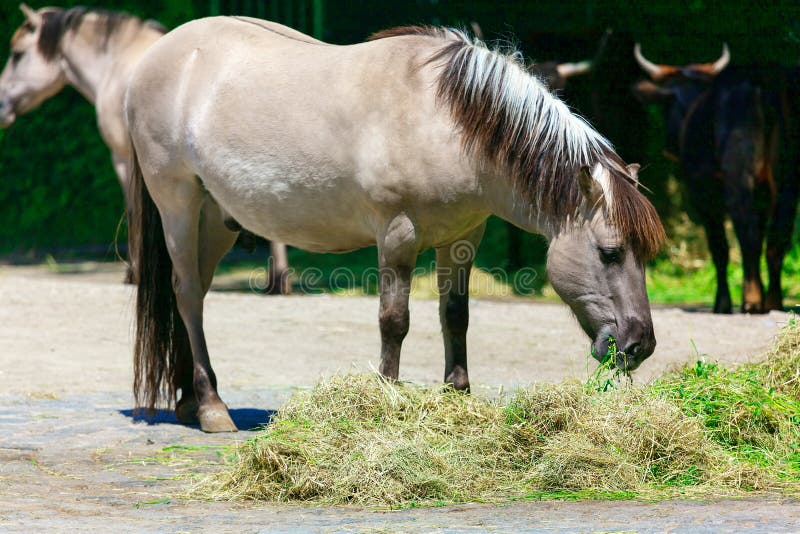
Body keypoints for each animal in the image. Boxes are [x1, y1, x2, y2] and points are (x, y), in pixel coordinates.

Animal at [0, 5, 290, 291]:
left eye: (17, 55)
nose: (1, 105)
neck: (114, 63)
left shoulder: (122, 159)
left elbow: (132, 212)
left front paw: (134, 272)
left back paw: (278, 279)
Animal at [125, 19, 665, 432]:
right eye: (610, 252)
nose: (639, 345)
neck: (443, 121)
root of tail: (156, 56)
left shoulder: (463, 238)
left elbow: (455, 315)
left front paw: (457, 395)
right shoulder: (397, 236)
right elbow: (394, 320)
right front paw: (386, 399)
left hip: (217, 219)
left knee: (193, 294)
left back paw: (189, 400)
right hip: (178, 202)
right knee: (186, 293)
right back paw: (213, 407)